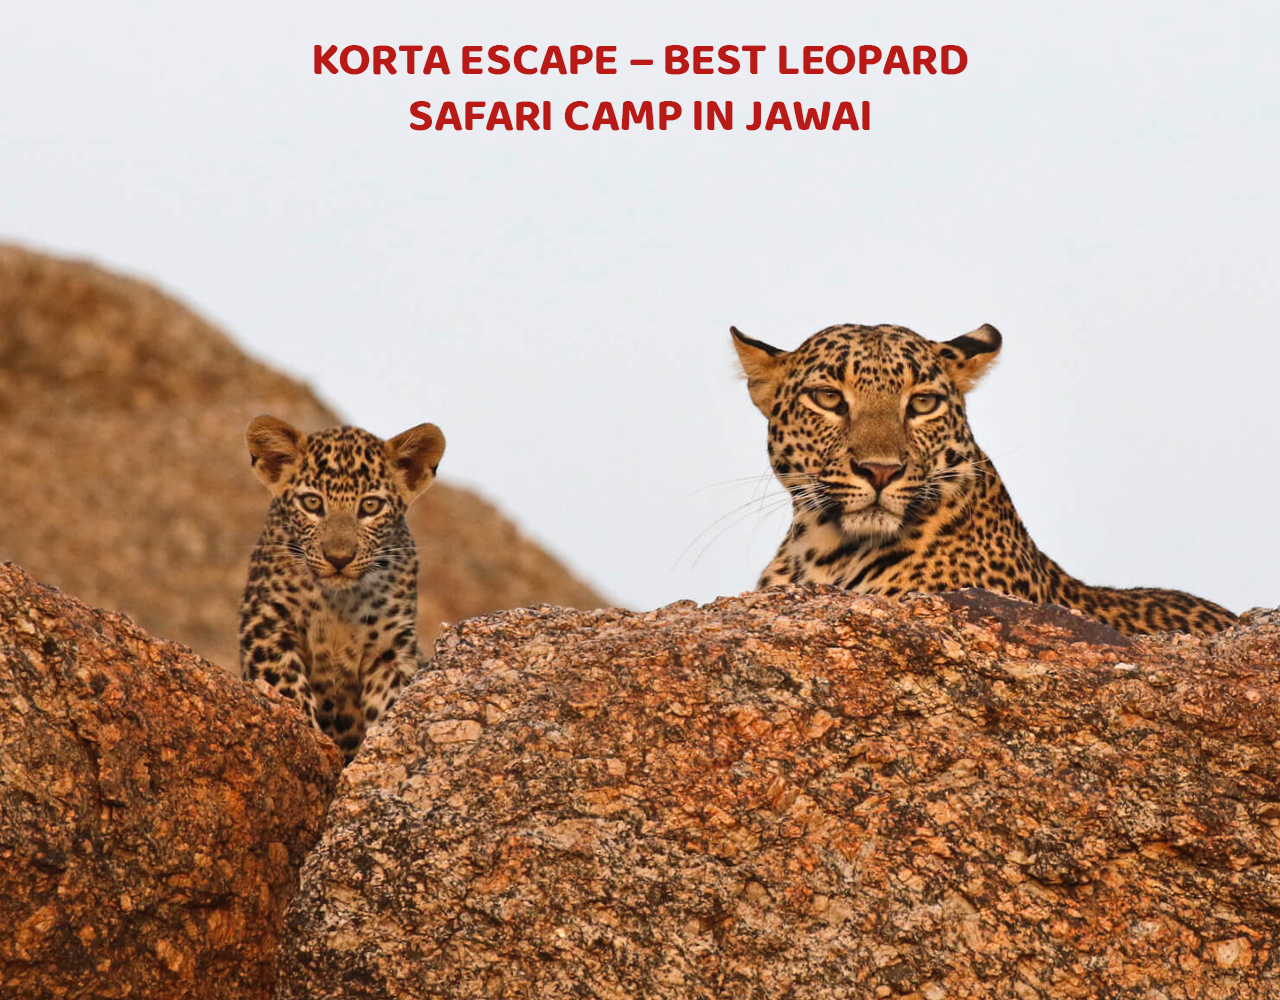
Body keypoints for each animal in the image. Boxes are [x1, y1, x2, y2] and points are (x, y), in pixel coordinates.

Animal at [238, 415, 446, 762]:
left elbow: (391, 701)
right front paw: (310, 738)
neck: (337, 602)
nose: (338, 558)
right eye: (312, 502)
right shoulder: (267, 624)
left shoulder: (391, 648)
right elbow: (287, 686)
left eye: (371, 506)